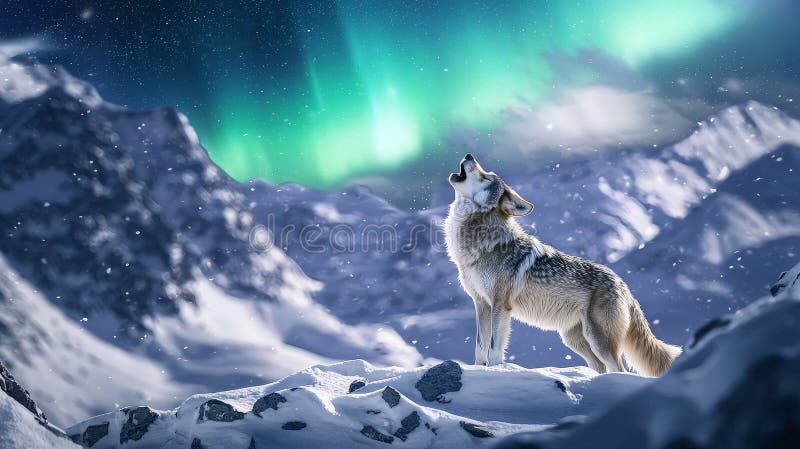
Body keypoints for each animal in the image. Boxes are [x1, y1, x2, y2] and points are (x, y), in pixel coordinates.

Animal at [444, 154, 681, 376]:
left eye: (486, 177)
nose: (469, 155)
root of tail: (623, 285)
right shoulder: (481, 304)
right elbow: (479, 347)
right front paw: (479, 370)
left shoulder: (500, 305)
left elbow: (494, 348)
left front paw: (495, 371)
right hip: (573, 339)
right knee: (599, 367)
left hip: (598, 339)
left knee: (617, 368)